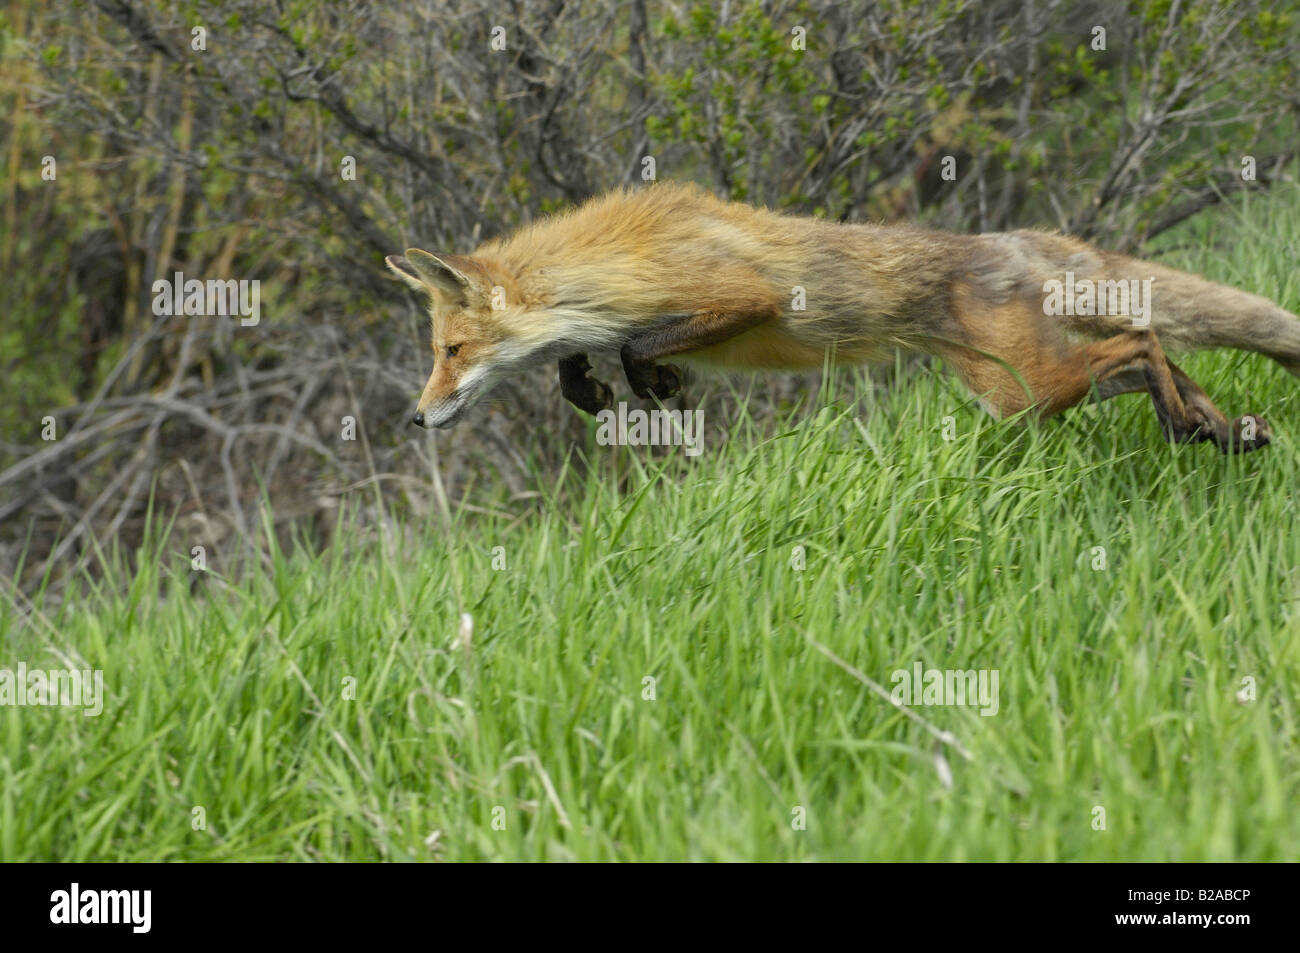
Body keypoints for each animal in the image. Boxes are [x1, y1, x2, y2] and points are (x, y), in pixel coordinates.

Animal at [387, 182, 1300, 452]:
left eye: (451, 350)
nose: (417, 417)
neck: (610, 265)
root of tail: (996, 241)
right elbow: (584, 361)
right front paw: (595, 386)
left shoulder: (742, 296)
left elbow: (643, 340)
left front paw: (652, 379)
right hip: (1010, 390)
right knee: (1161, 355)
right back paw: (1220, 427)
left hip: (1027, 392)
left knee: (1142, 340)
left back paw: (1190, 424)